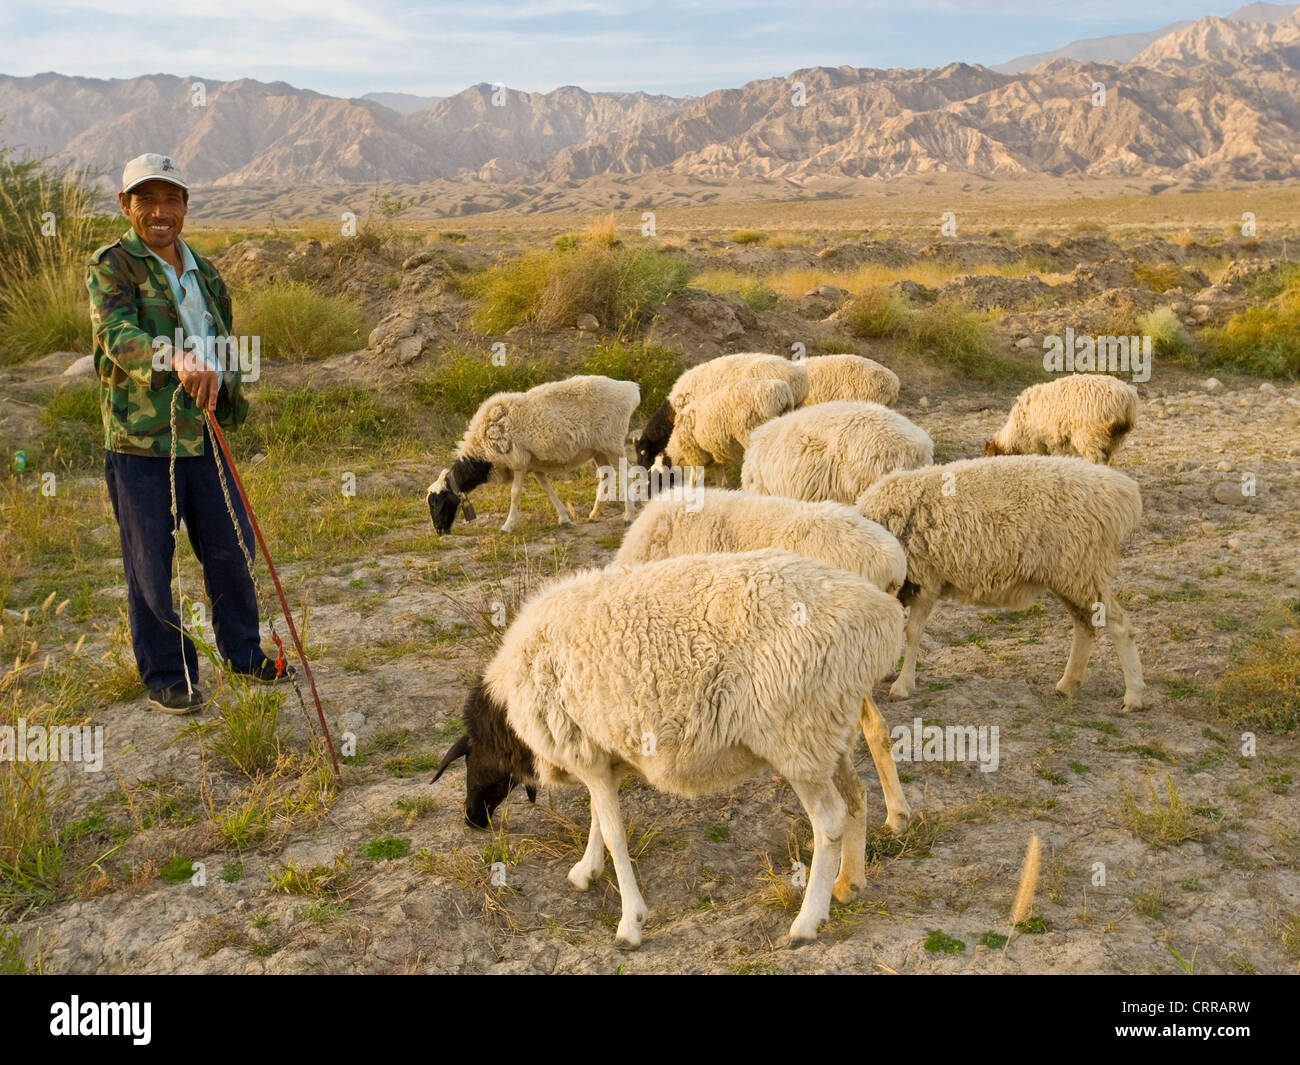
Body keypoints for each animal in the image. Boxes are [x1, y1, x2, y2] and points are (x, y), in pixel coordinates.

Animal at [427, 374, 640, 534]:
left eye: (437, 503)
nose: (439, 531)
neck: (482, 452)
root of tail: (630, 389)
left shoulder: (519, 461)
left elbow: (514, 494)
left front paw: (507, 526)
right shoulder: (534, 464)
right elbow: (546, 488)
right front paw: (564, 518)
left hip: (612, 442)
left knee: (626, 473)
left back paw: (629, 516)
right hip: (599, 448)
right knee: (606, 475)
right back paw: (594, 514)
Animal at [433, 549, 908, 949]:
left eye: (470, 760)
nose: (471, 818)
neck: (509, 711)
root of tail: (881, 616)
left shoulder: (585, 753)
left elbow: (614, 833)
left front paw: (630, 923)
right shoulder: (599, 754)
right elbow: (597, 817)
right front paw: (587, 871)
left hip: (799, 735)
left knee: (829, 822)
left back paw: (807, 922)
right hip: (832, 729)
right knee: (856, 798)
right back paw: (849, 884)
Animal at [855, 455, 1146, 711]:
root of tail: (1121, 491)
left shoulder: (926, 579)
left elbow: (912, 633)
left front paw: (902, 685)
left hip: (1083, 570)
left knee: (1120, 626)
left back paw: (1133, 696)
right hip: (1071, 574)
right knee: (1085, 625)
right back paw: (1067, 684)